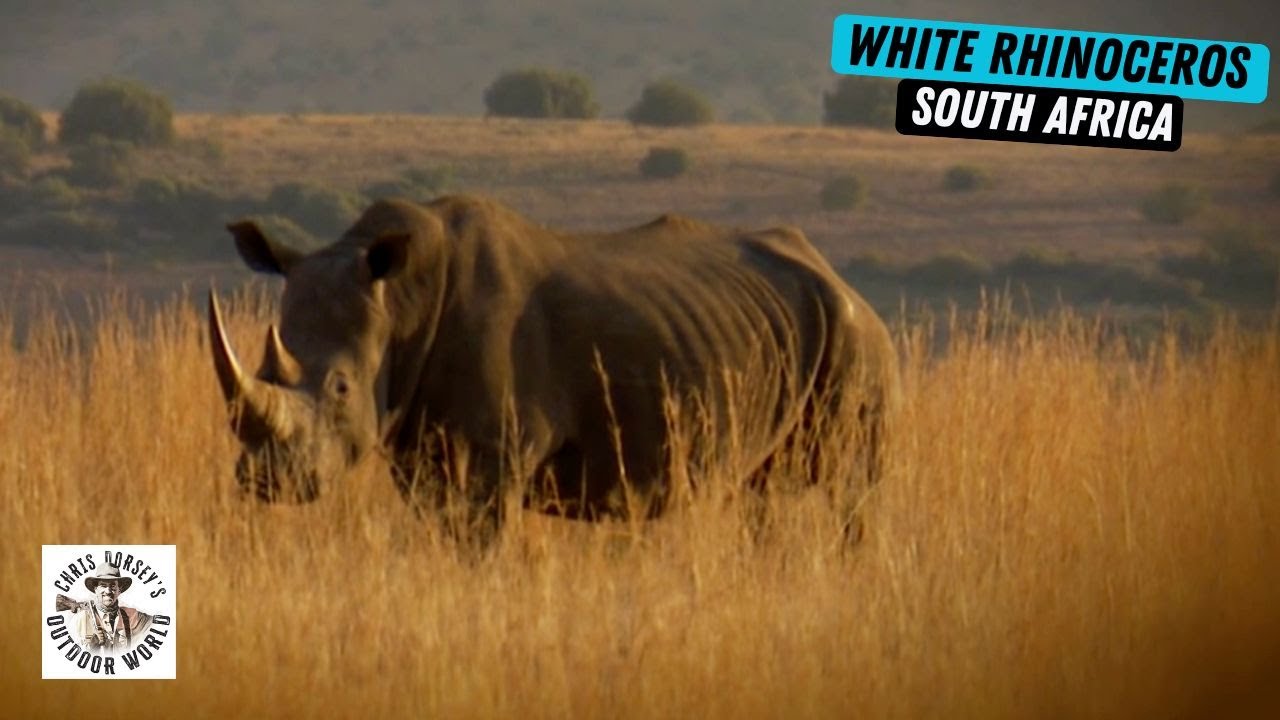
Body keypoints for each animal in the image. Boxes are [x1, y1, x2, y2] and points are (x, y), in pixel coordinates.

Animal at [209, 195, 899, 539]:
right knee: (764, 490)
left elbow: (479, 541)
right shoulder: (422, 448)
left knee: (849, 487)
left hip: (858, 342)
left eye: (342, 386)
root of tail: (841, 278)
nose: (265, 482)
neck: (401, 299)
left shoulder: (493, 457)